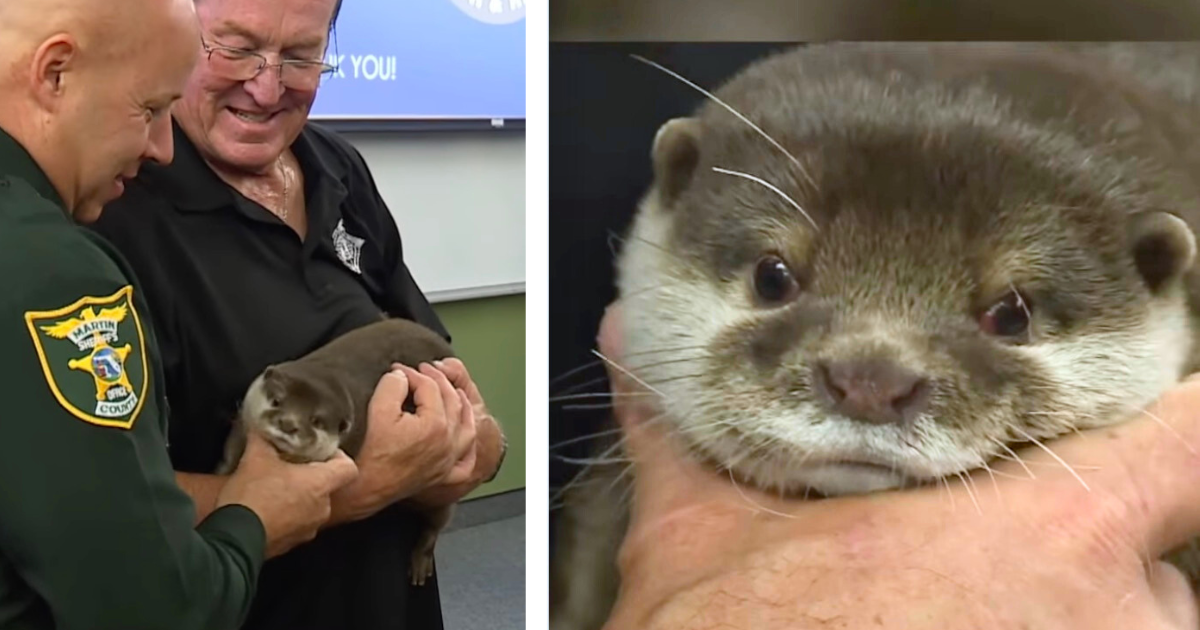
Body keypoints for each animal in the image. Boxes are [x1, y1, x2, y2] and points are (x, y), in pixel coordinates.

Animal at [218, 317, 459, 586]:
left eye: (316, 420)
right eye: (276, 400)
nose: (288, 424)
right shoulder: (244, 420)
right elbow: (232, 447)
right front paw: (225, 470)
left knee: (437, 521)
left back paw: (419, 562)